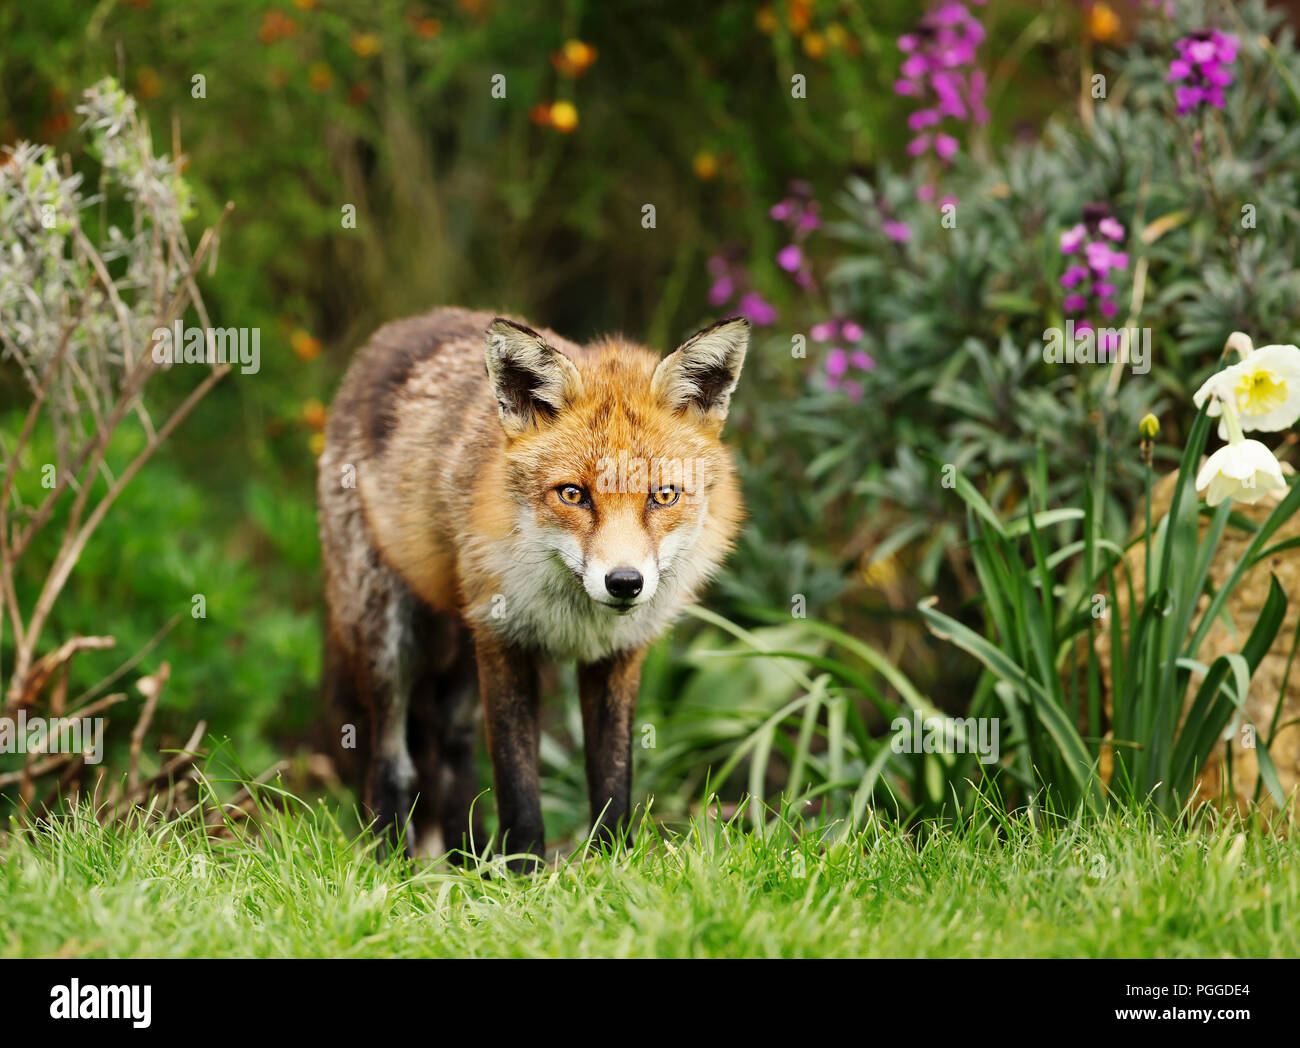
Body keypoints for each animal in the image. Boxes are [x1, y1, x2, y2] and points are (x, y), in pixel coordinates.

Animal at [317, 307, 748, 867]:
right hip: (388, 639)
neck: (576, 617)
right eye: (573, 494)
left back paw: (464, 861)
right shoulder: (504, 642)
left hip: (462, 648)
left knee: (453, 748)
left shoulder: (617, 656)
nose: (624, 583)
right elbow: (518, 786)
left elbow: (612, 780)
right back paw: (395, 865)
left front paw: (610, 865)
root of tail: (404, 326)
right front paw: (524, 873)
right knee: (393, 761)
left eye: (664, 496)